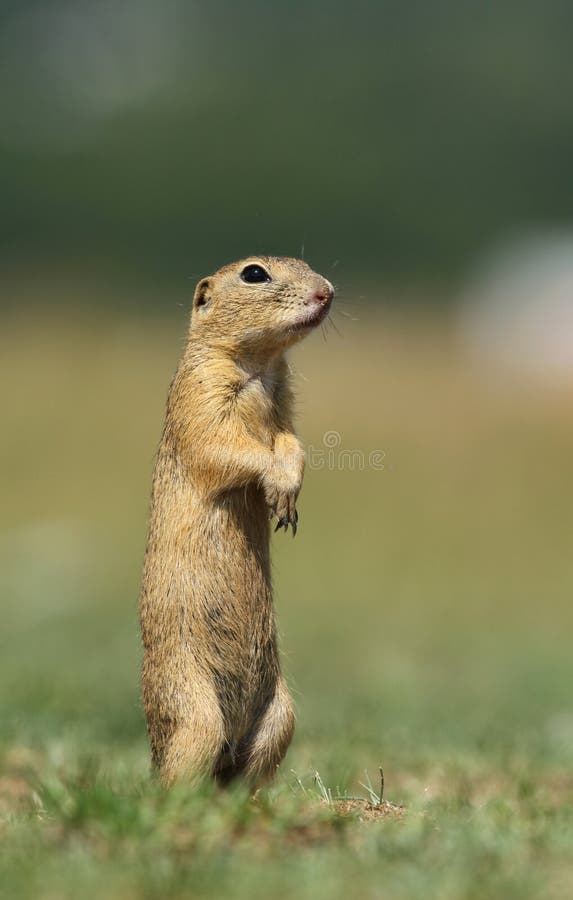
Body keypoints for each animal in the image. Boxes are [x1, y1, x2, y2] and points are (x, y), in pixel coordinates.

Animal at [139, 256, 334, 787]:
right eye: (254, 274)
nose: (327, 292)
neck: (261, 367)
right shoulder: (201, 395)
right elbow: (224, 447)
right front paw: (278, 488)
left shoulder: (285, 405)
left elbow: (291, 442)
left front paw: (289, 495)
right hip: (194, 713)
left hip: (280, 718)